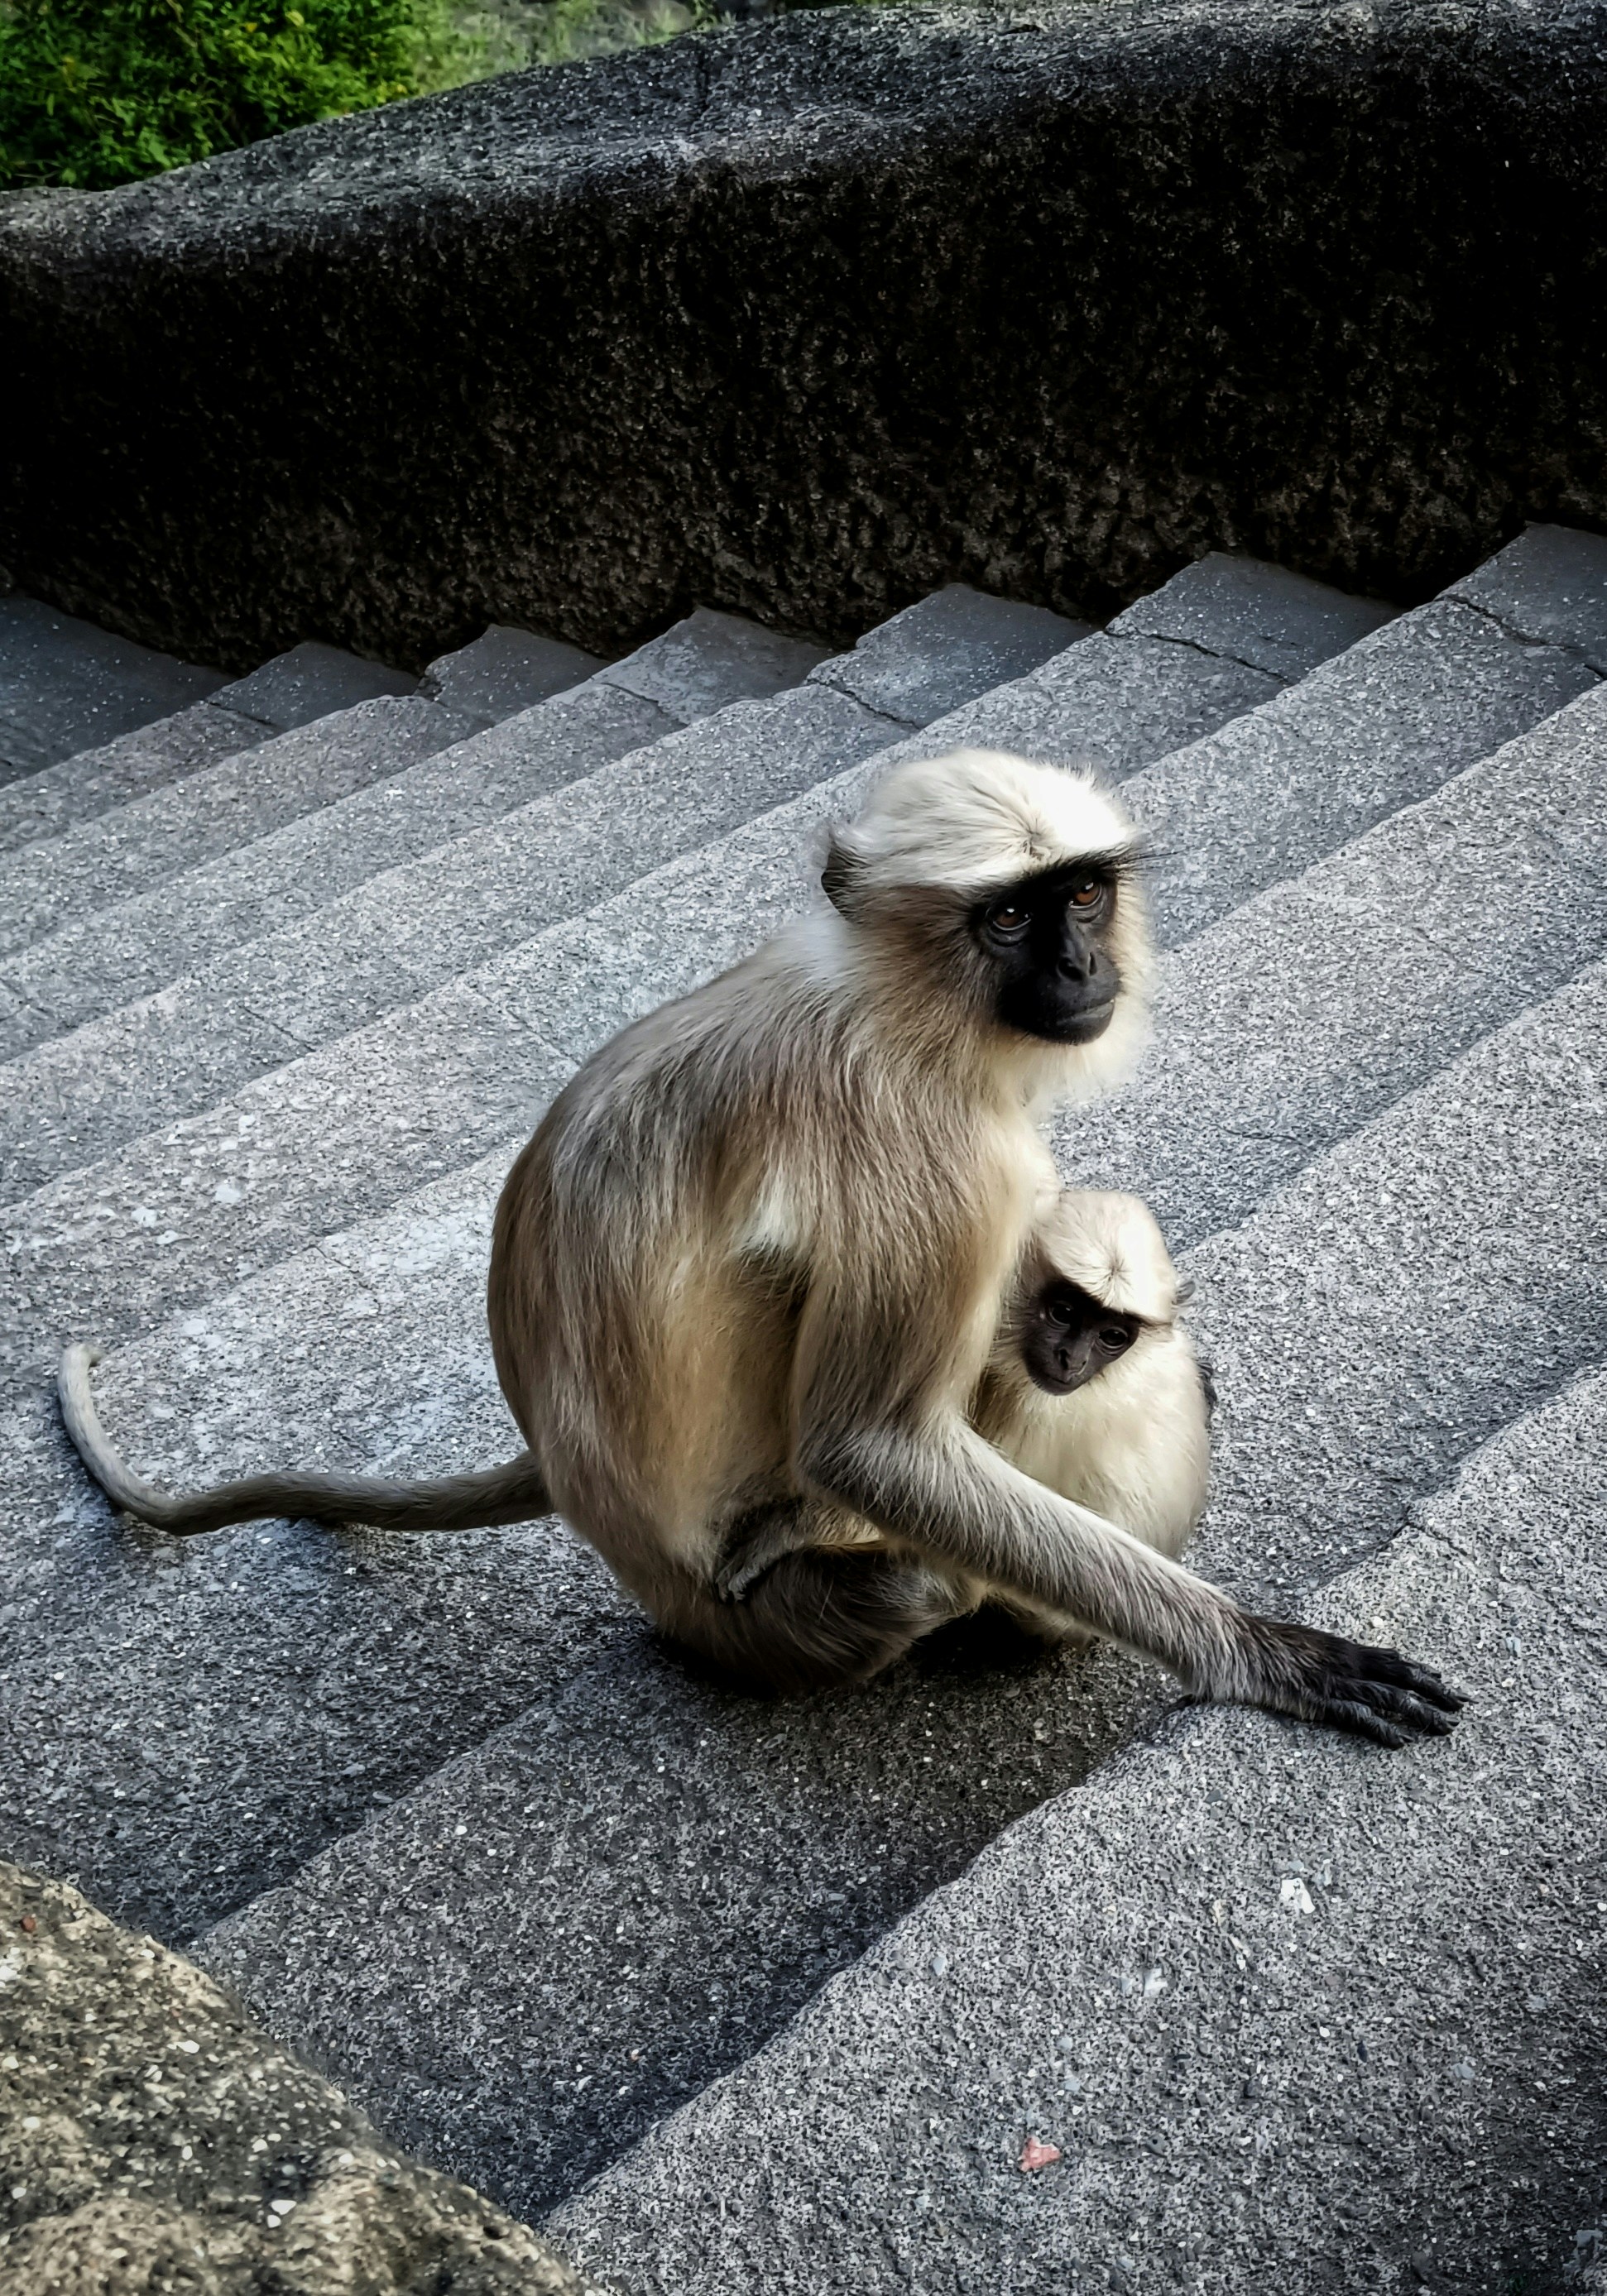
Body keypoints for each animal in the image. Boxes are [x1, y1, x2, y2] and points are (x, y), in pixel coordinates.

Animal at [60, 747, 1461, 1749]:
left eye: (1077, 893)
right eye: (1007, 923)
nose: (1077, 968)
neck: (884, 1005)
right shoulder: (936, 1155)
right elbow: (872, 1446)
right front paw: (1258, 1649)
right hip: (787, 1624)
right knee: (917, 1571)